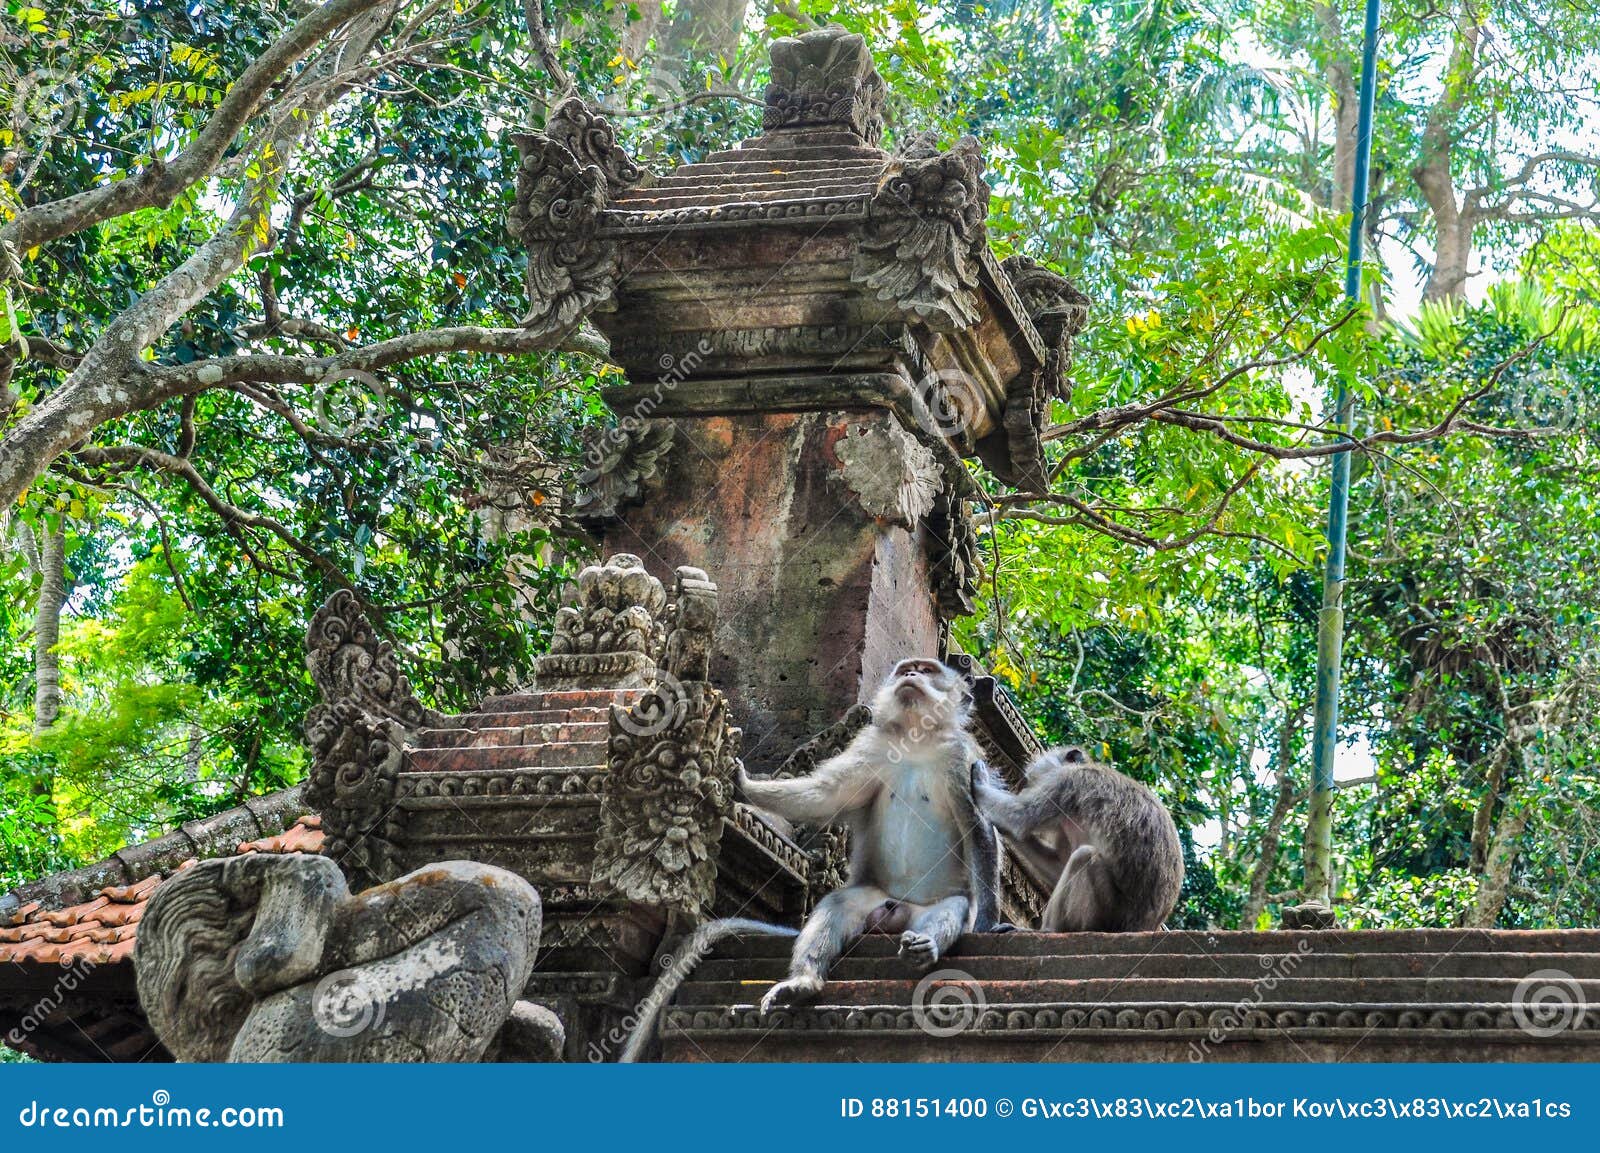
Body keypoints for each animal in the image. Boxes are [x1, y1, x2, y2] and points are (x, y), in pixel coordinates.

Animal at [975, 745, 1183, 932]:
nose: (1024, 787)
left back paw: (1049, 930)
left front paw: (979, 783)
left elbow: (1019, 820)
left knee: (1084, 857)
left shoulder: (1066, 782)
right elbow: (1058, 866)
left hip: (1109, 916)